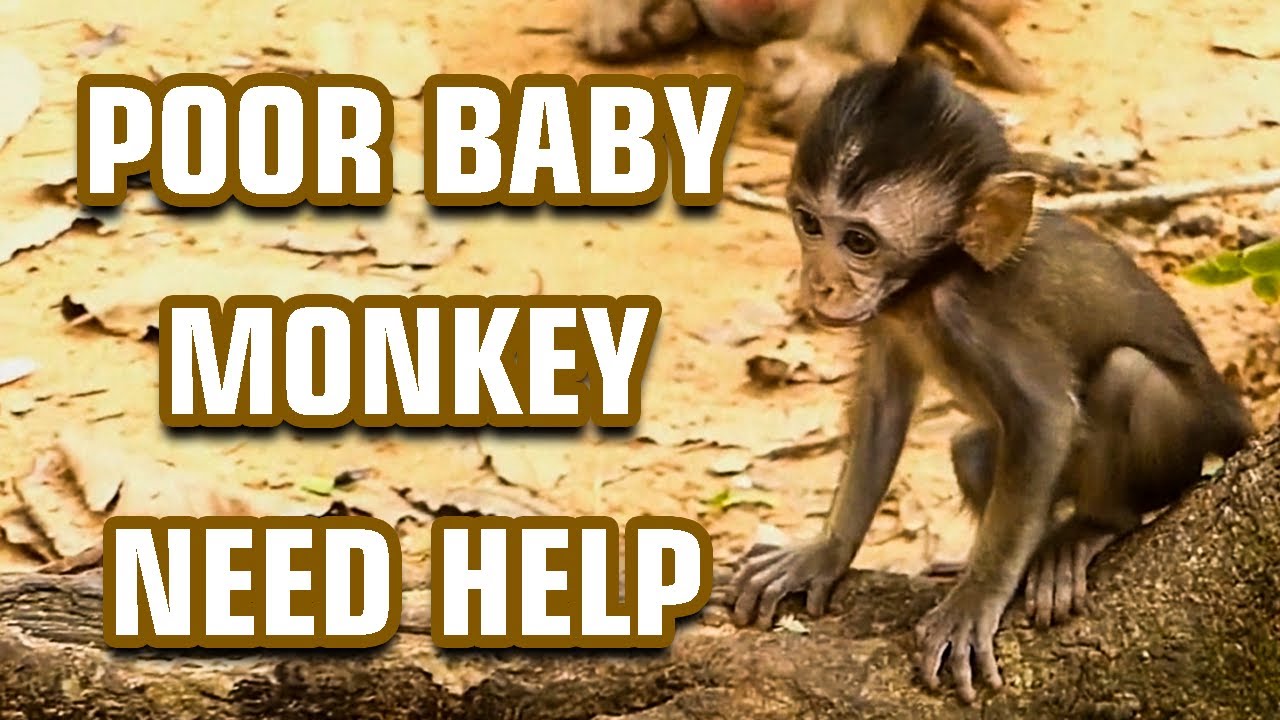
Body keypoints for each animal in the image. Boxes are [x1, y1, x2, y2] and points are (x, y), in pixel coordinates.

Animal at [713, 59, 1254, 704]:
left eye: (859, 242)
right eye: (809, 223)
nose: (819, 283)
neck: (931, 280)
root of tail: (1234, 415)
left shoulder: (973, 315)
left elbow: (1047, 415)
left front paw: (977, 599)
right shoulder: (890, 316)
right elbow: (882, 405)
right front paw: (823, 553)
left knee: (1127, 374)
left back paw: (1089, 528)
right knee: (970, 451)